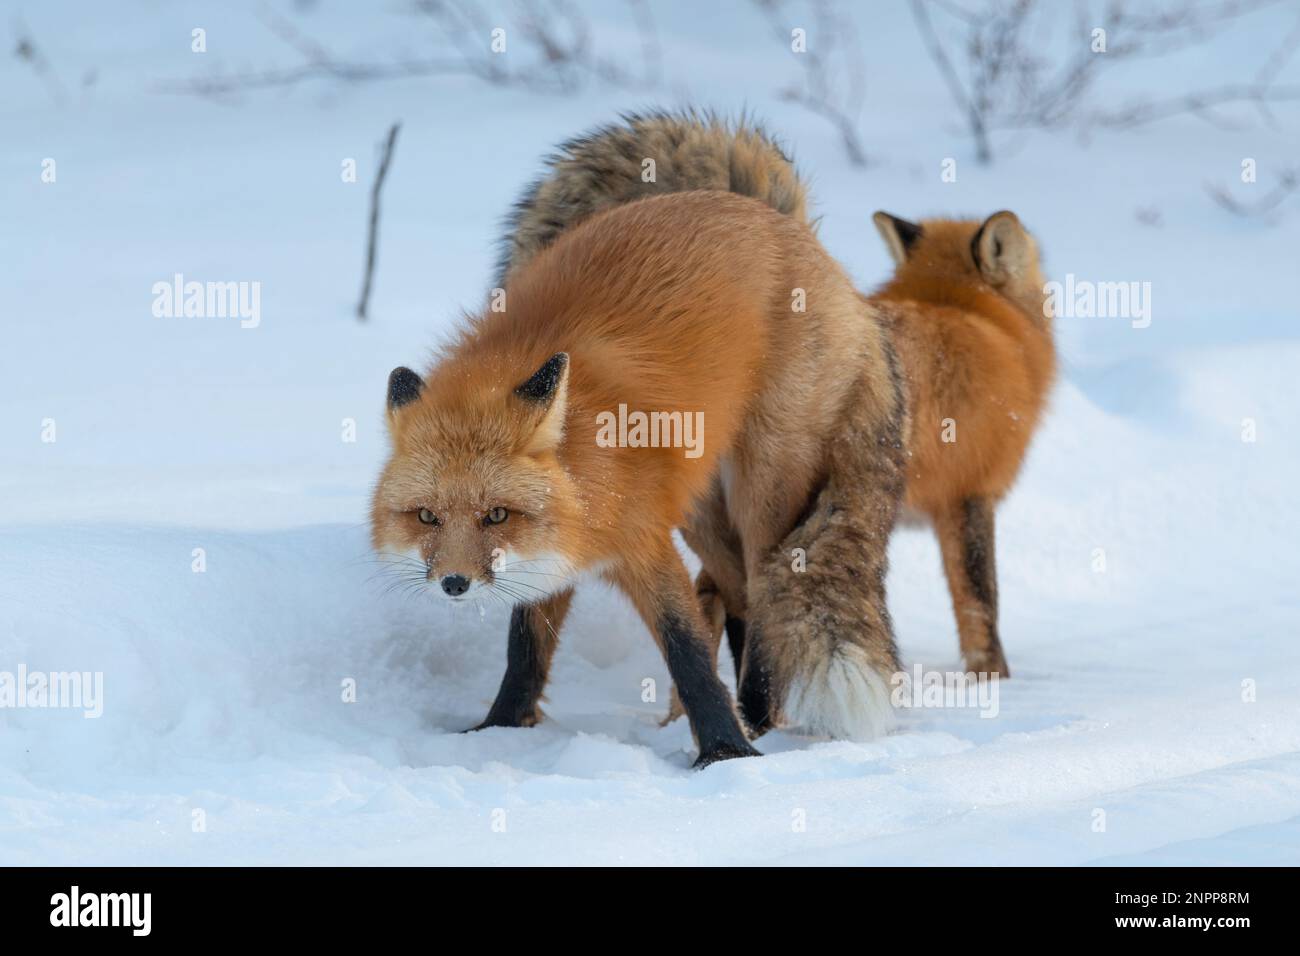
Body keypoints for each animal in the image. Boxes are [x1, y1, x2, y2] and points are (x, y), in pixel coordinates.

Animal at [372, 145, 905, 763]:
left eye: (496, 515)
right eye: (427, 516)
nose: (454, 583)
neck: (589, 460)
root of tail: (792, 228)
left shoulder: (644, 540)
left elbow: (687, 649)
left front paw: (724, 754)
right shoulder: (555, 550)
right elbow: (524, 652)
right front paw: (499, 729)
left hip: (765, 490)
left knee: (769, 591)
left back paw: (755, 717)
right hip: (701, 507)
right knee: (740, 592)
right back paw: (751, 716)